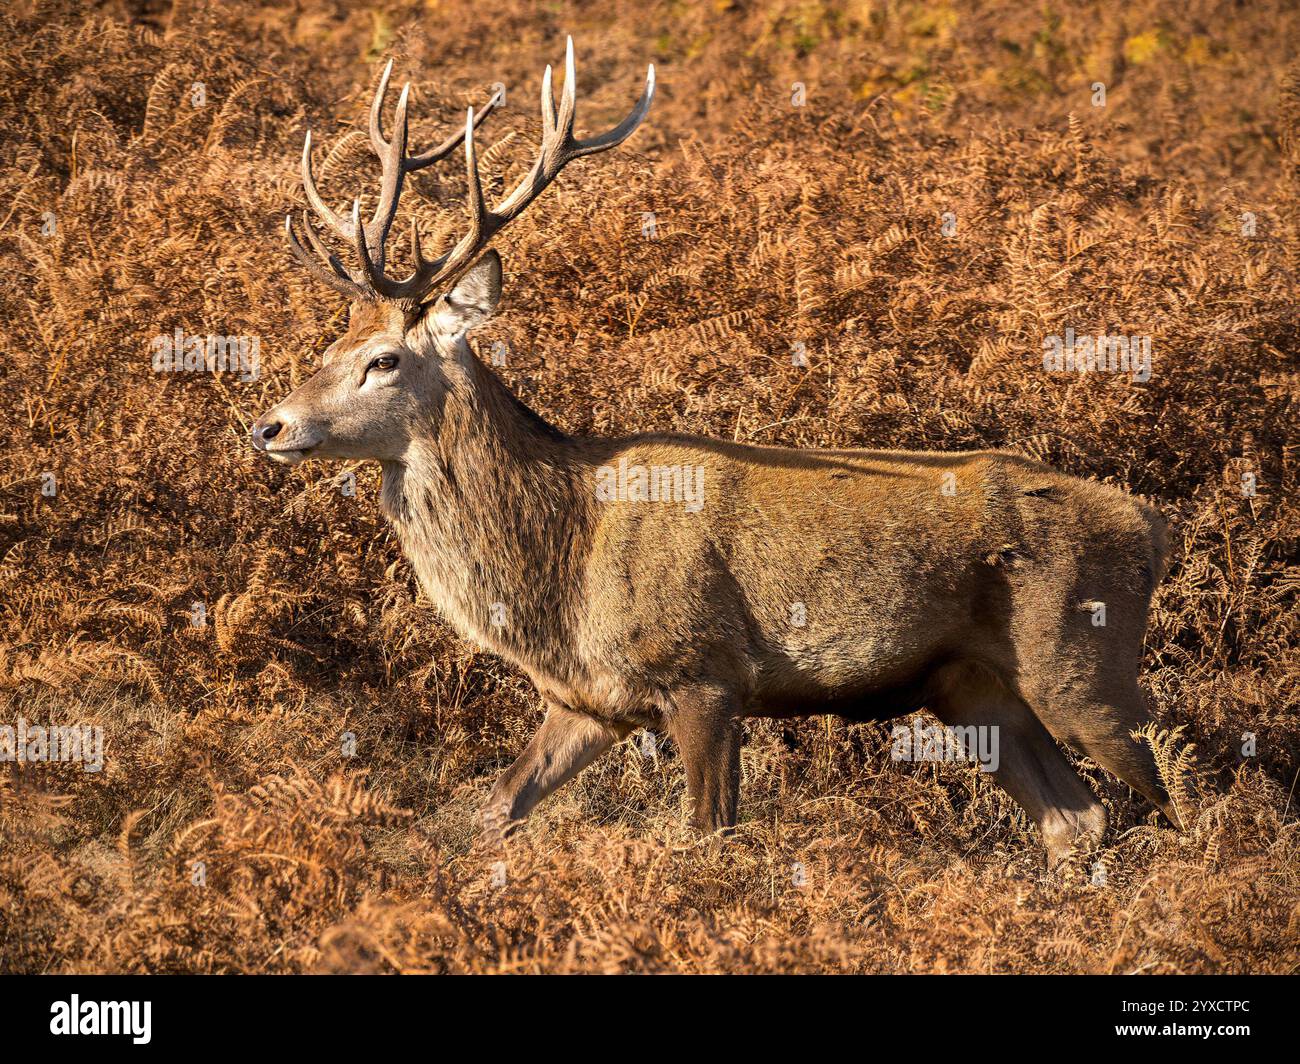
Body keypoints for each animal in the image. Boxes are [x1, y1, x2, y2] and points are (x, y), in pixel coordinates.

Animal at [251, 39, 1181, 868]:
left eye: (384, 360)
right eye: (333, 341)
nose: (269, 426)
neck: (564, 569)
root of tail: (1153, 526)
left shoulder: (704, 671)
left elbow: (705, 836)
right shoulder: (591, 700)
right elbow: (498, 806)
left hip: (1084, 663)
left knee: (1181, 800)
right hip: (976, 689)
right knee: (1077, 818)